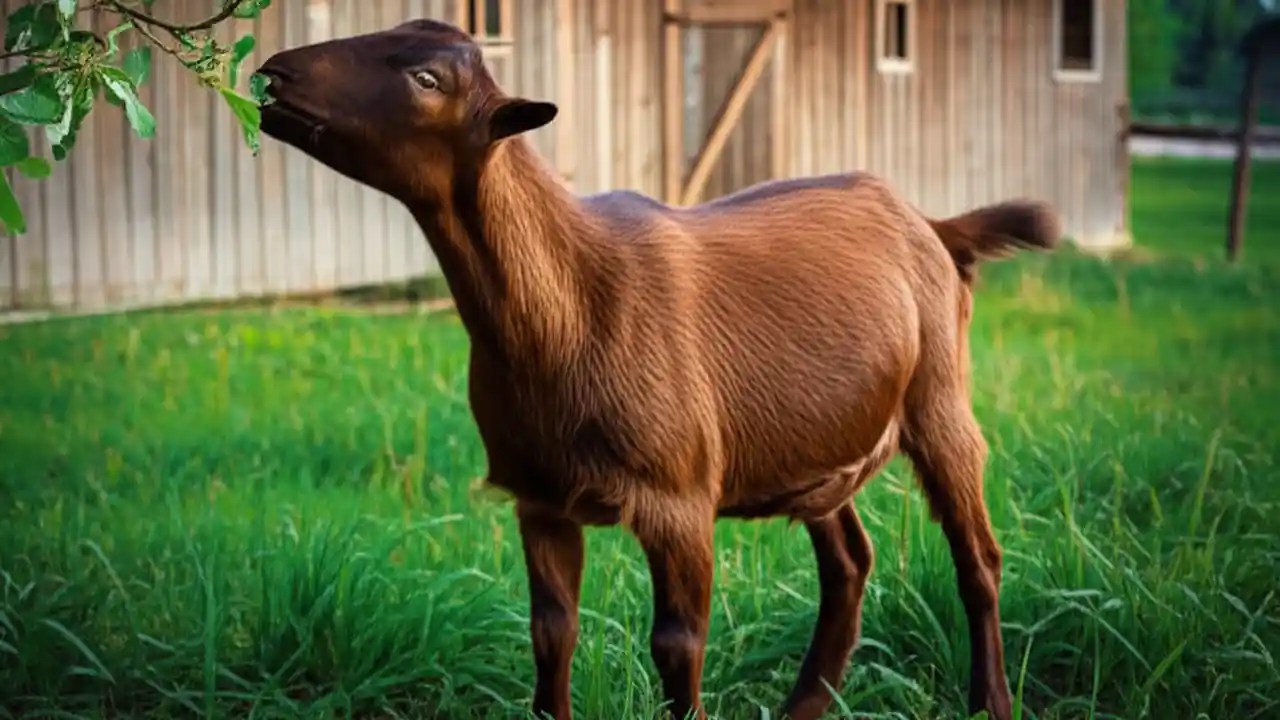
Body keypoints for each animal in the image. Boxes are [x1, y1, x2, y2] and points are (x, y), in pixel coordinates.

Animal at [255, 18, 1060, 720]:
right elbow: (550, 633)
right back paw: (802, 706)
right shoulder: (539, 496)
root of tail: (933, 224)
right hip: (817, 445)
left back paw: (992, 702)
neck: (569, 304)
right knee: (849, 564)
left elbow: (677, 646)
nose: (275, 74)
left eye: (427, 79)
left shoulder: (680, 498)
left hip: (941, 398)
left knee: (978, 559)